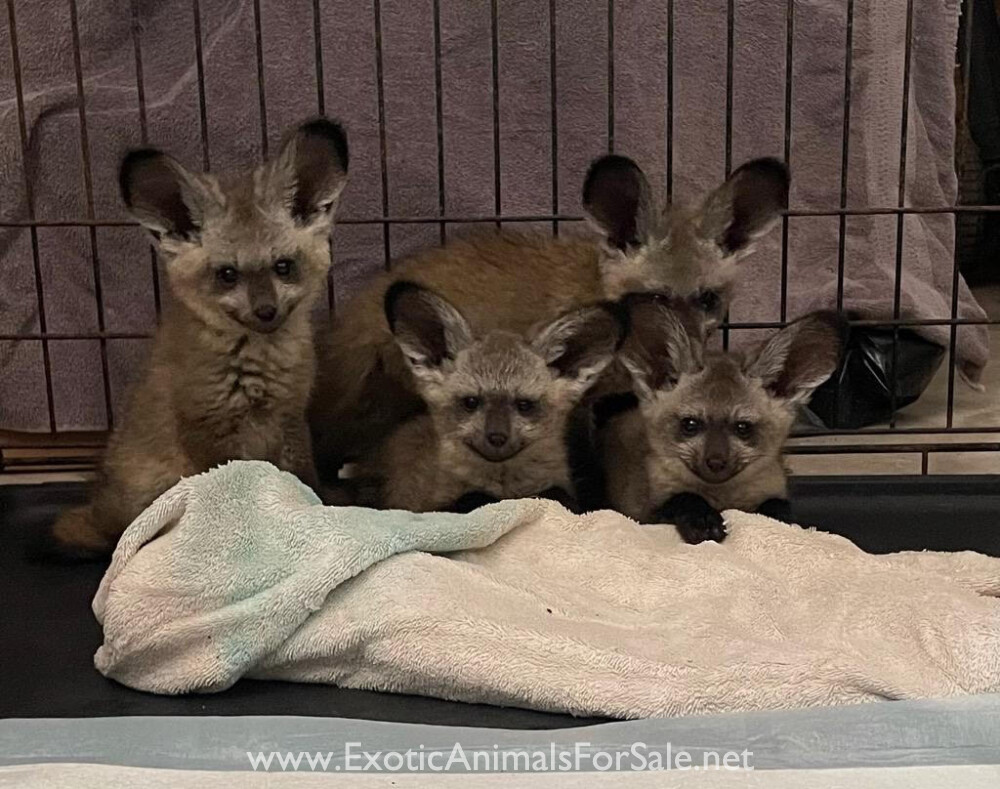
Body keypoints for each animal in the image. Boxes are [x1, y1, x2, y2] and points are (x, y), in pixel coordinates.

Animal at [44, 117, 349, 560]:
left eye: (283, 267)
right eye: (227, 274)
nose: (266, 312)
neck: (257, 370)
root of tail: (99, 505)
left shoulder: (291, 417)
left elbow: (306, 483)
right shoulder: (208, 428)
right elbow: (231, 489)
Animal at [351, 281, 621, 513]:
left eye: (524, 404)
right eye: (471, 402)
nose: (497, 437)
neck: (504, 491)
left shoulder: (561, 489)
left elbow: (560, 496)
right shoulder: (430, 507)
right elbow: (468, 499)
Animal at [601, 295, 845, 544]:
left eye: (742, 427)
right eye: (690, 424)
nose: (716, 462)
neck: (723, 500)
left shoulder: (774, 490)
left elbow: (777, 507)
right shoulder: (643, 512)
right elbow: (683, 498)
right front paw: (704, 521)